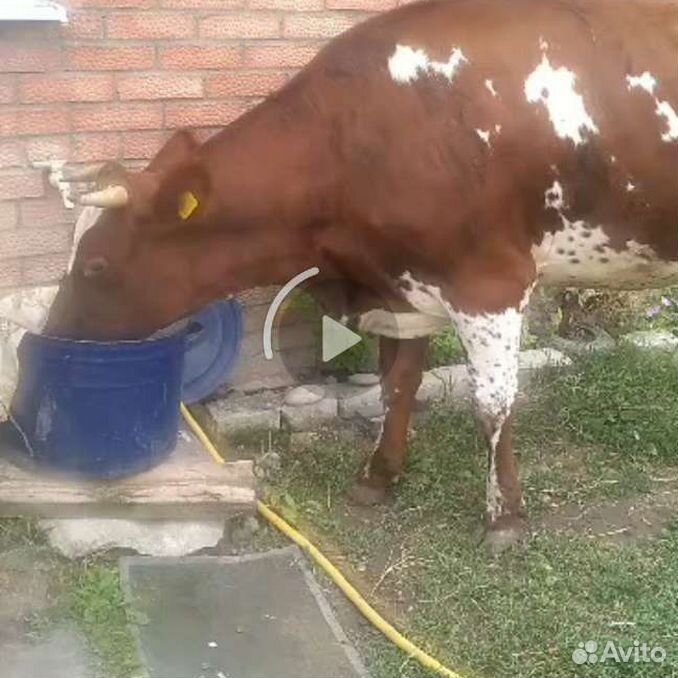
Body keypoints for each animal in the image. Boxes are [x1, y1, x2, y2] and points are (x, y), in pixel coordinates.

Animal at [44, 0, 678, 552]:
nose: (53, 334)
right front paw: (379, 476)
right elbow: (396, 385)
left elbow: (493, 402)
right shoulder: (405, 283)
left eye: (95, 264)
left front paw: (505, 518)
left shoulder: (488, 282)